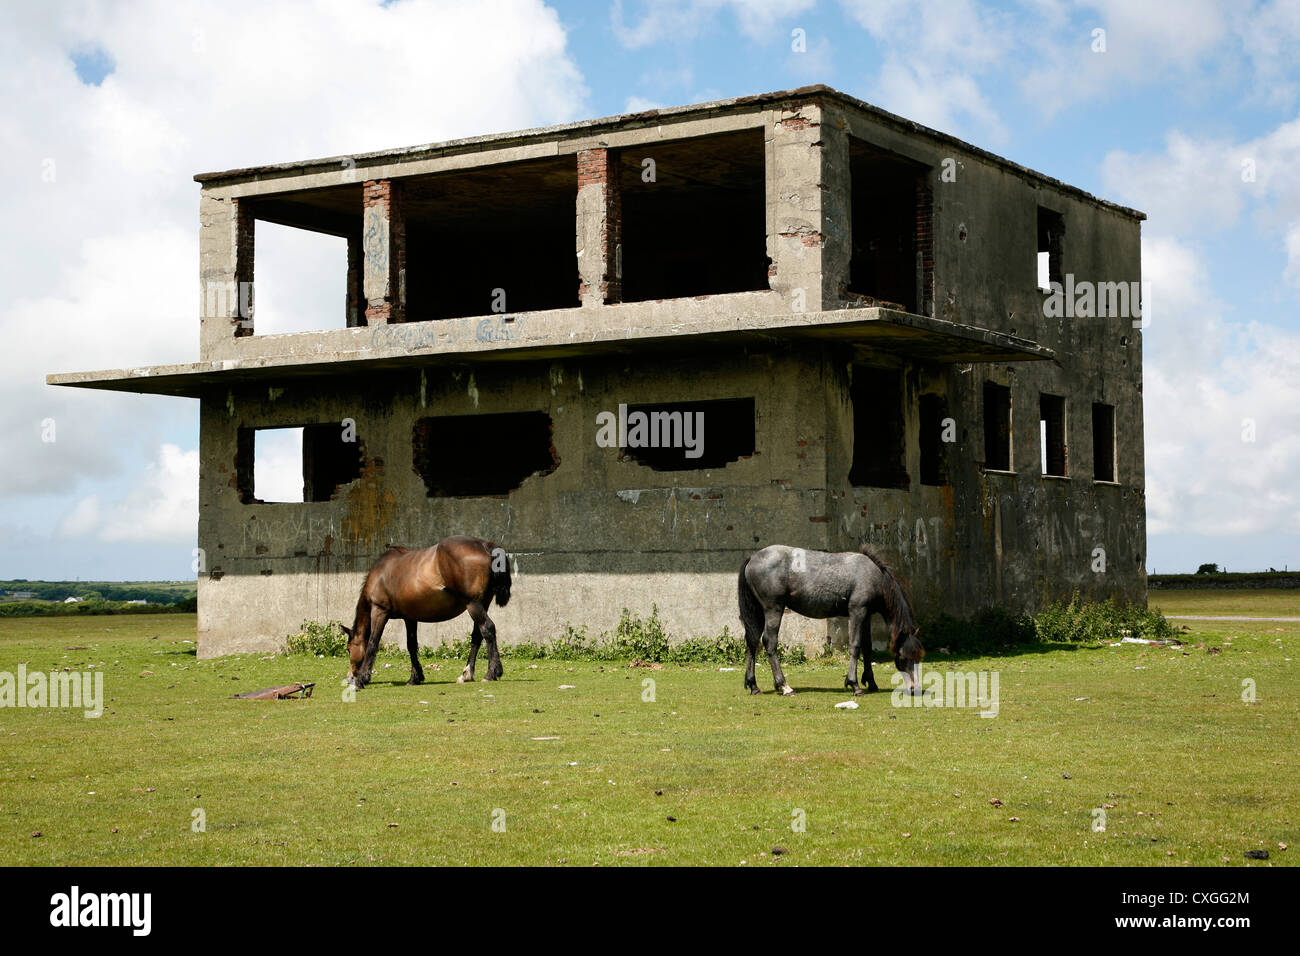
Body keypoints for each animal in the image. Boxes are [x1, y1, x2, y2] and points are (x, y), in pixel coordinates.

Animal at [341, 535, 512, 690]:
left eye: (349, 649)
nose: (349, 677)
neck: (381, 573)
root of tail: (485, 545)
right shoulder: (410, 618)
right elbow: (411, 645)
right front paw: (415, 678)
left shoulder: (379, 612)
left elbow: (373, 643)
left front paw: (361, 679)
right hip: (481, 604)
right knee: (478, 635)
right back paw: (467, 674)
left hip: (473, 604)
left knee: (488, 628)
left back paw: (491, 673)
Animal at [737, 544, 924, 696]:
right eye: (903, 658)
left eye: (918, 658)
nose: (915, 689)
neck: (874, 576)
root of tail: (753, 557)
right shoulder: (857, 612)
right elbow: (855, 646)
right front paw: (854, 684)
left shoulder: (866, 615)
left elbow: (867, 647)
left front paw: (871, 682)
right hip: (773, 609)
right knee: (769, 642)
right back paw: (784, 686)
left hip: (758, 611)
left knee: (752, 642)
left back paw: (754, 686)